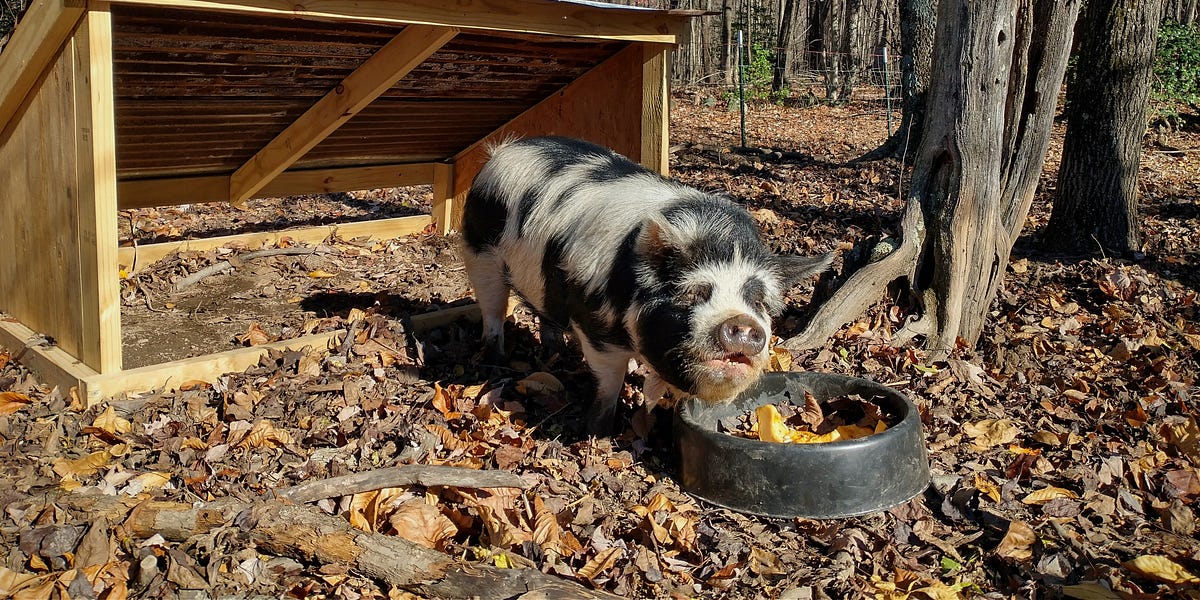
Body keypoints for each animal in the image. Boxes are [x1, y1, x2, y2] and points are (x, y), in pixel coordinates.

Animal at [460, 136, 833, 433]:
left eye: (758, 302)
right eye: (694, 292)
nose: (741, 322)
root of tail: (504, 150)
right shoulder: (596, 329)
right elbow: (609, 381)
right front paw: (598, 432)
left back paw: (553, 352)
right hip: (480, 253)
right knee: (492, 312)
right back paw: (497, 362)